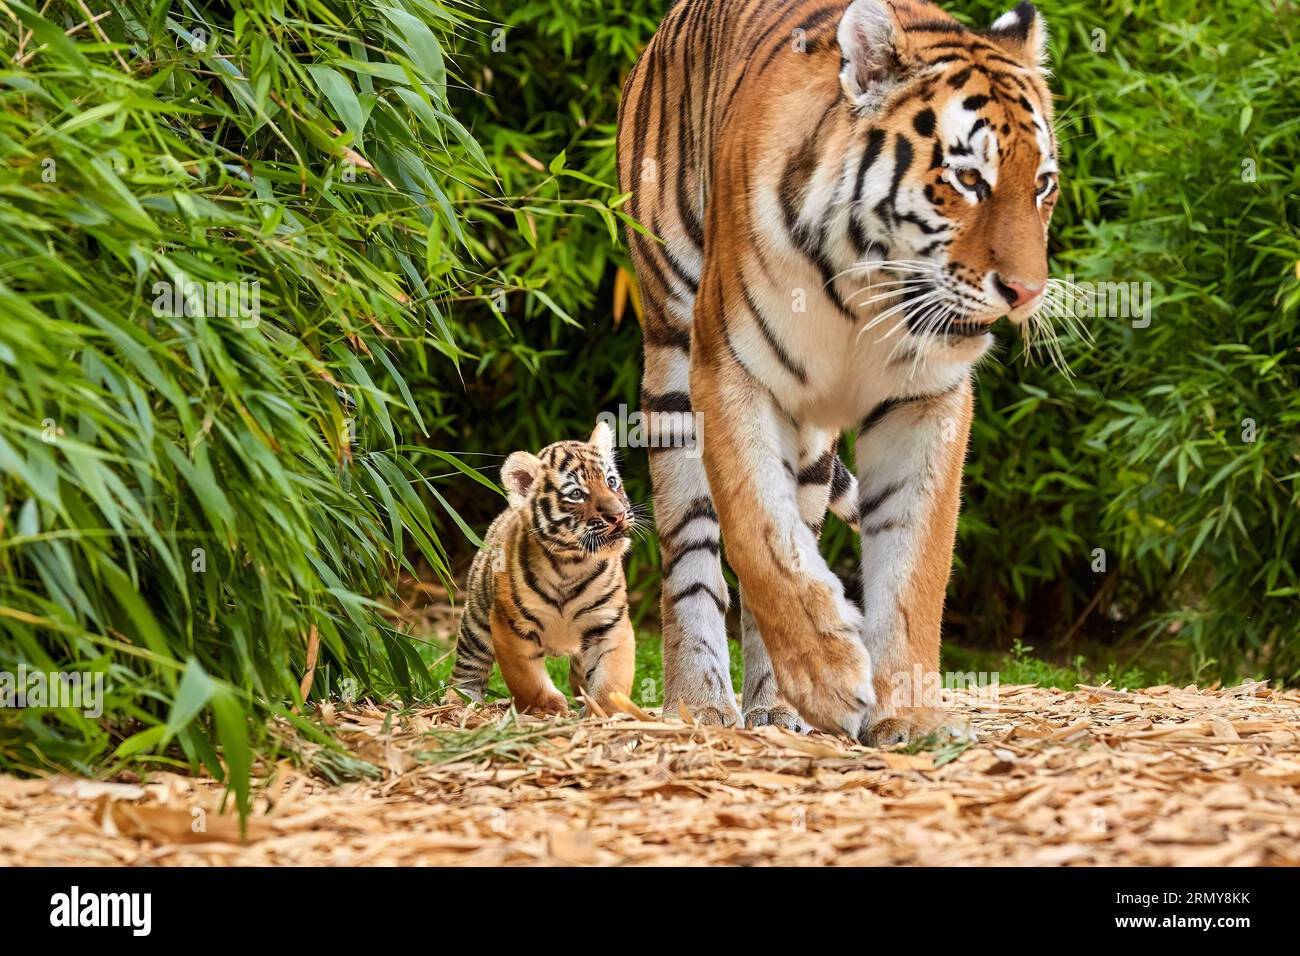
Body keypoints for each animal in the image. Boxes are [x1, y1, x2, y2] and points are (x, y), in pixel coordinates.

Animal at [449, 423, 636, 715]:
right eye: (576, 494)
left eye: (611, 481)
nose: (617, 515)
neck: (572, 565)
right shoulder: (510, 626)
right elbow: (527, 681)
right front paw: (550, 708)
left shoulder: (609, 624)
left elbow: (611, 680)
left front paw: (605, 712)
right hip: (476, 620)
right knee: (470, 664)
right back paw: (458, 700)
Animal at [617, 0, 1059, 744]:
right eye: (968, 179)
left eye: (1043, 185)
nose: (1025, 292)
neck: (867, 284)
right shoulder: (729, 370)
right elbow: (759, 534)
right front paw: (828, 676)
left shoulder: (926, 398)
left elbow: (915, 563)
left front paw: (908, 715)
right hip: (671, 347)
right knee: (695, 552)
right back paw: (698, 701)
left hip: (812, 434)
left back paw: (775, 707)